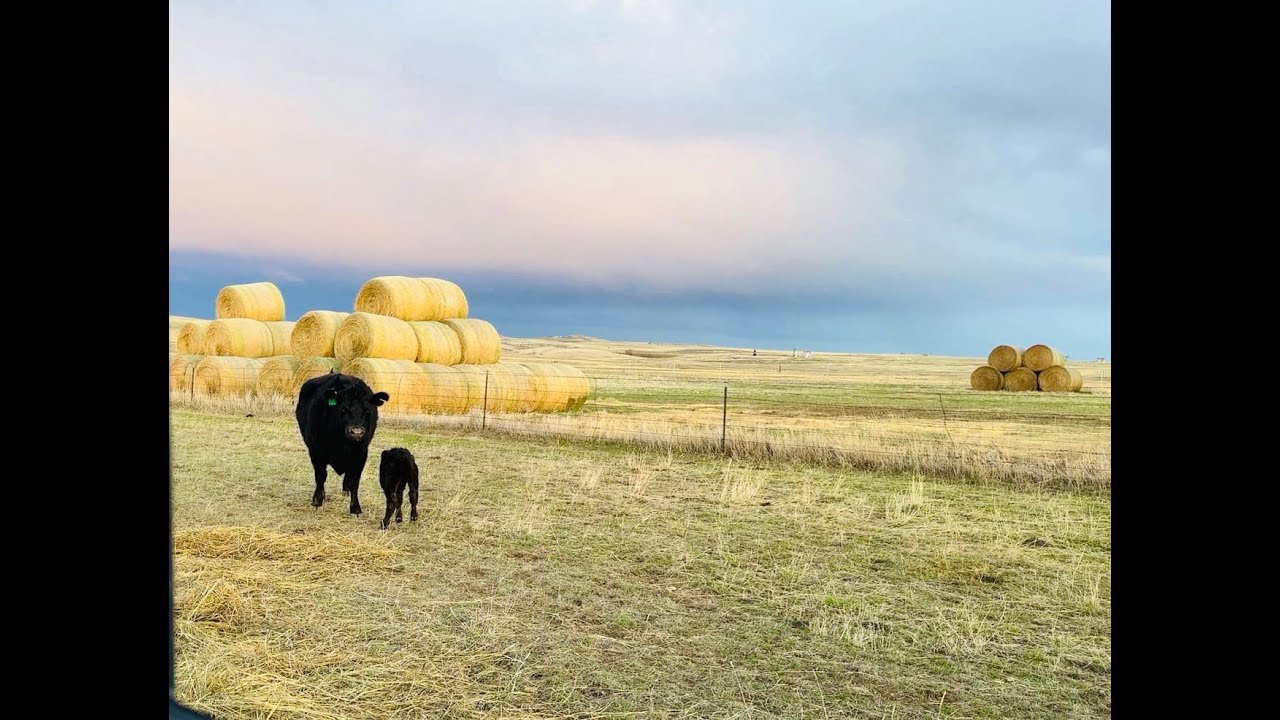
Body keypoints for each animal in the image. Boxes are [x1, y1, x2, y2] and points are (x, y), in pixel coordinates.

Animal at [295, 372, 389, 516]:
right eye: (343, 409)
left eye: (367, 411)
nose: (356, 432)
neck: (342, 445)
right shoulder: (316, 451)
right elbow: (320, 476)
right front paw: (318, 500)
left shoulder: (361, 454)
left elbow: (354, 480)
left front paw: (355, 507)